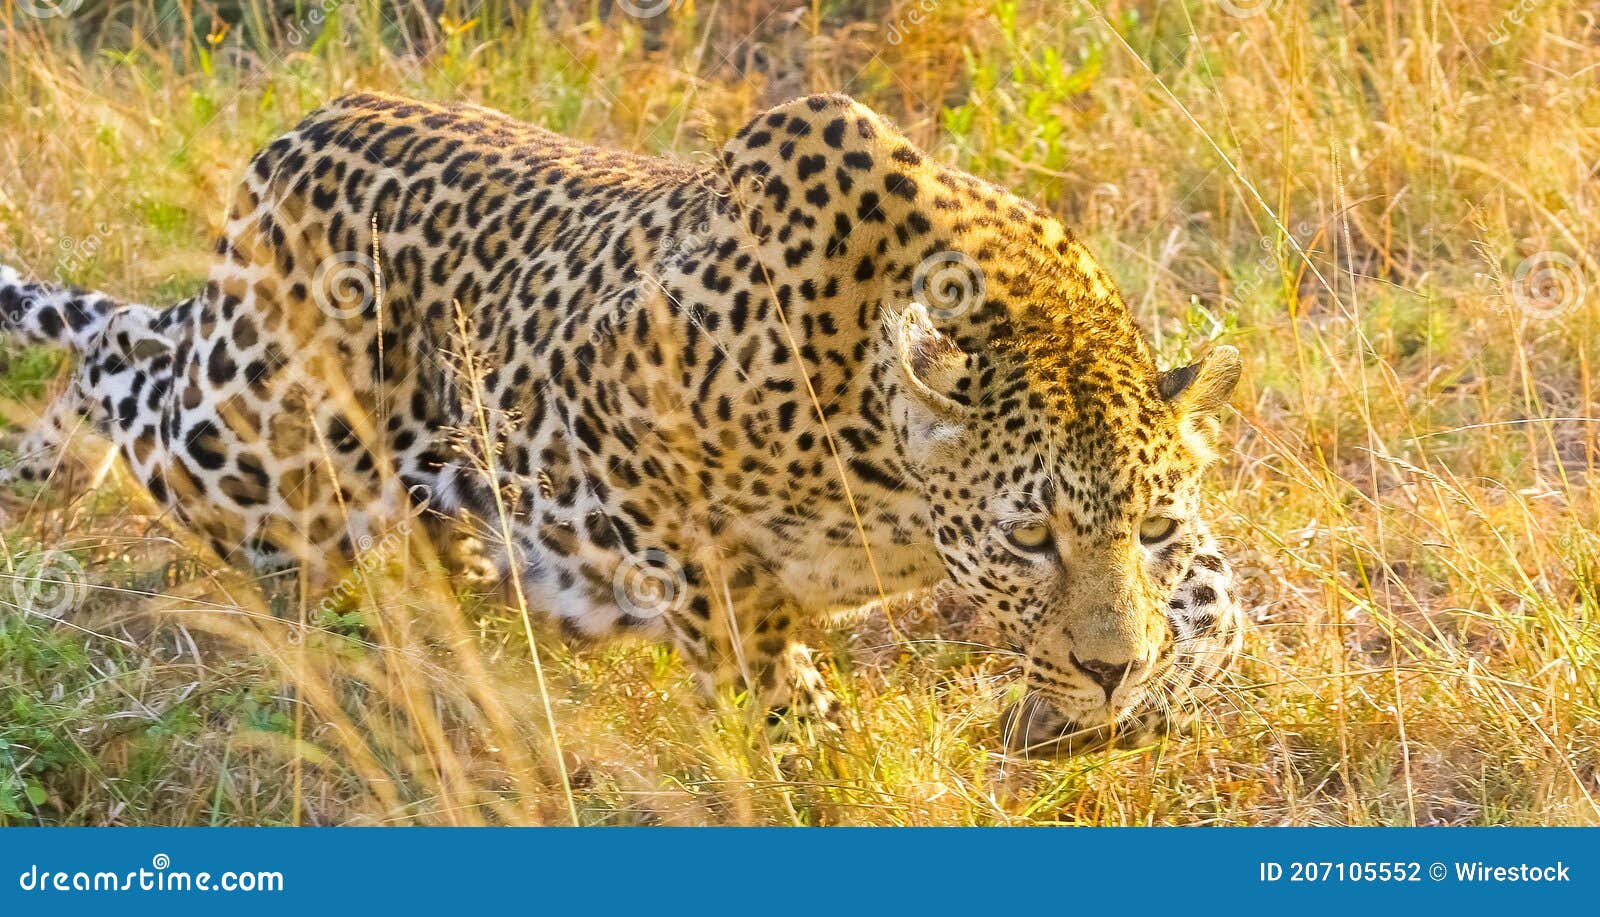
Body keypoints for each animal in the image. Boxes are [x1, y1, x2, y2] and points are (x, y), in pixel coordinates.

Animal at [0, 92, 1245, 754]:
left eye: (1149, 528)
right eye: (1027, 538)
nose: (1109, 672)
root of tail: (299, 131)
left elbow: (1219, 601)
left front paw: (1150, 688)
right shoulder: (613, 443)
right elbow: (750, 635)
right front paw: (819, 751)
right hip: (261, 449)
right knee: (123, 358)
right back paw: (45, 473)